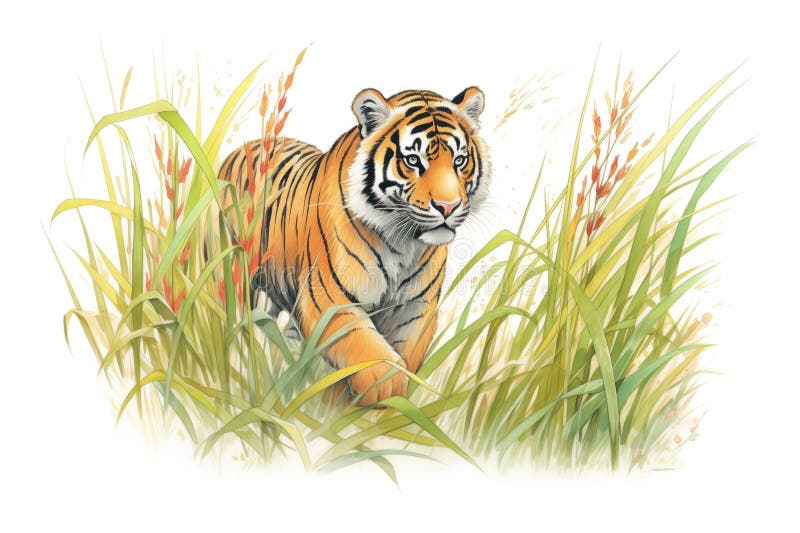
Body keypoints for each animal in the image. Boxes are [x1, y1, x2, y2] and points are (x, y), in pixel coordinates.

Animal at [218, 87, 490, 406]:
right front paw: (386, 386)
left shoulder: (415, 306)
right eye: (413, 160)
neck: (404, 241)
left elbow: (406, 349)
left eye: (459, 161)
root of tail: (245, 147)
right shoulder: (328, 295)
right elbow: (362, 342)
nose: (448, 207)